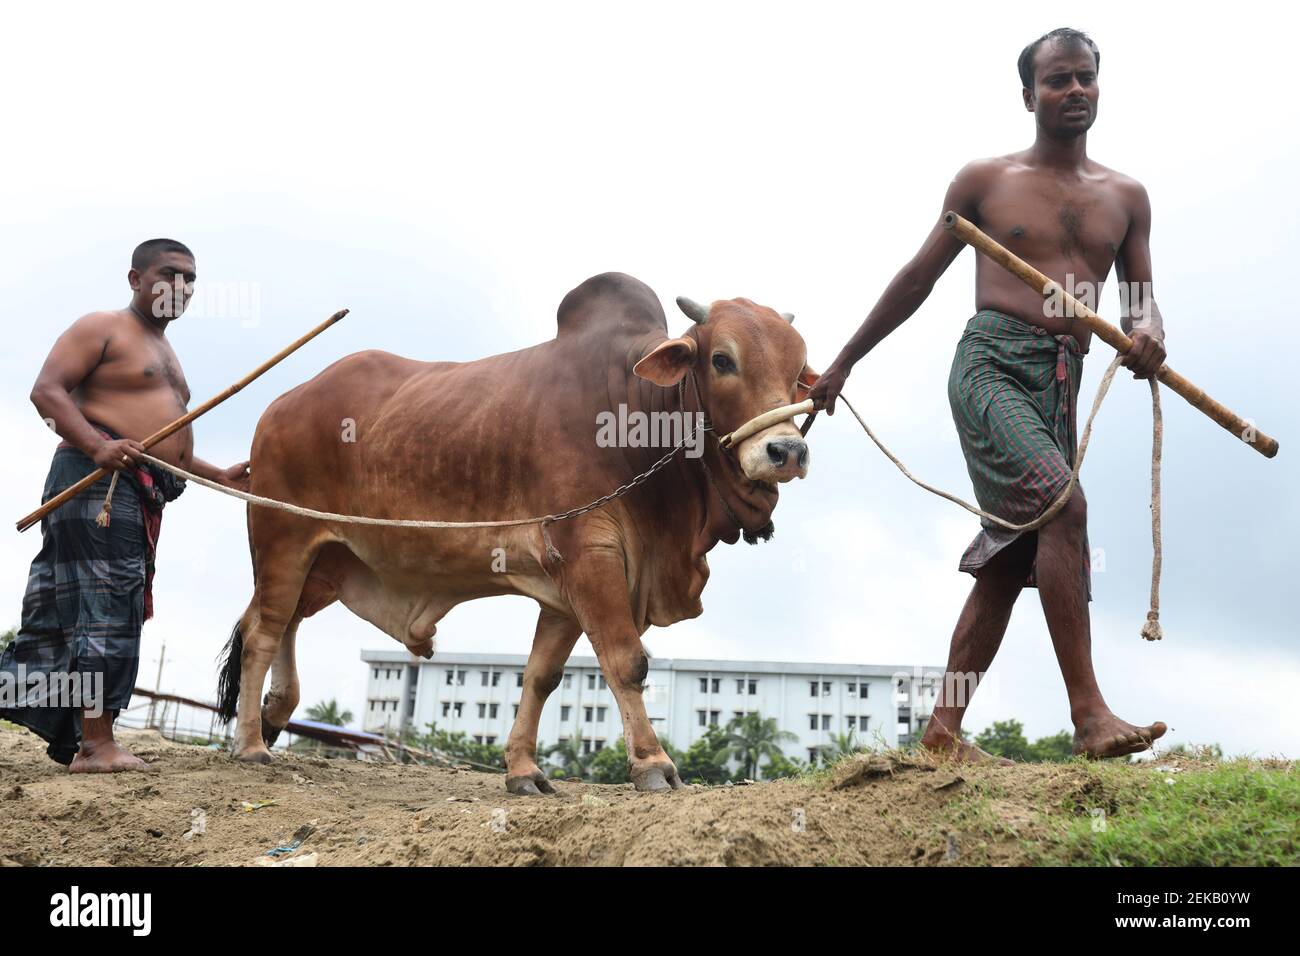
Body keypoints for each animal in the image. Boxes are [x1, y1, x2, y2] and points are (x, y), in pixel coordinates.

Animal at [217, 272, 816, 792]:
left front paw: (523, 771)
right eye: (722, 359)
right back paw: (251, 745)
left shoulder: (568, 584)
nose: (786, 451)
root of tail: (278, 406)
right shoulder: (589, 552)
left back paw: (274, 713)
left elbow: (540, 677)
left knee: (279, 622)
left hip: (324, 561)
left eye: (799, 370)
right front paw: (654, 764)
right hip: (283, 538)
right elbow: (627, 661)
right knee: (264, 630)